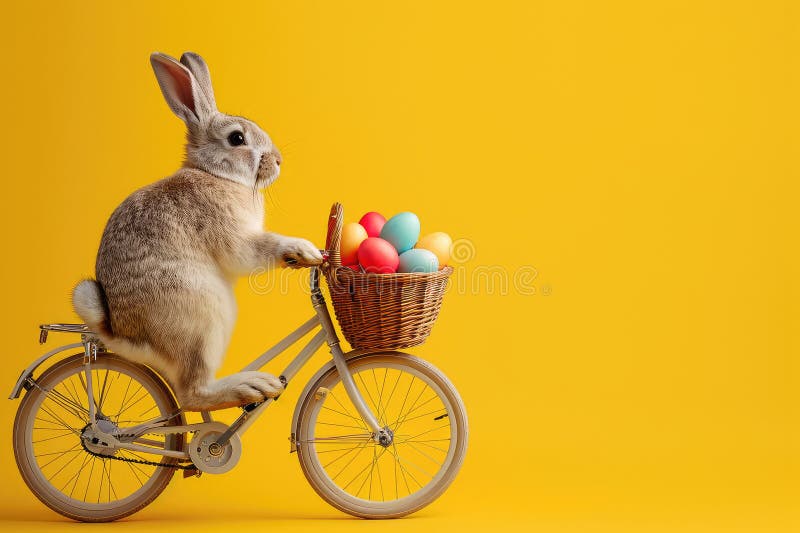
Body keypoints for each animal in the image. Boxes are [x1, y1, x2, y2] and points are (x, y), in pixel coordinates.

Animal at [72, 51, 323, 411]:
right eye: (237, 138)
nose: (277, 161)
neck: (215, 174)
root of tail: (121, 335)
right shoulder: (235, 236)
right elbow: (255, 251)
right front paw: (304, 250)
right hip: (203, 320)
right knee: (192, 394)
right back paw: (251, 386)